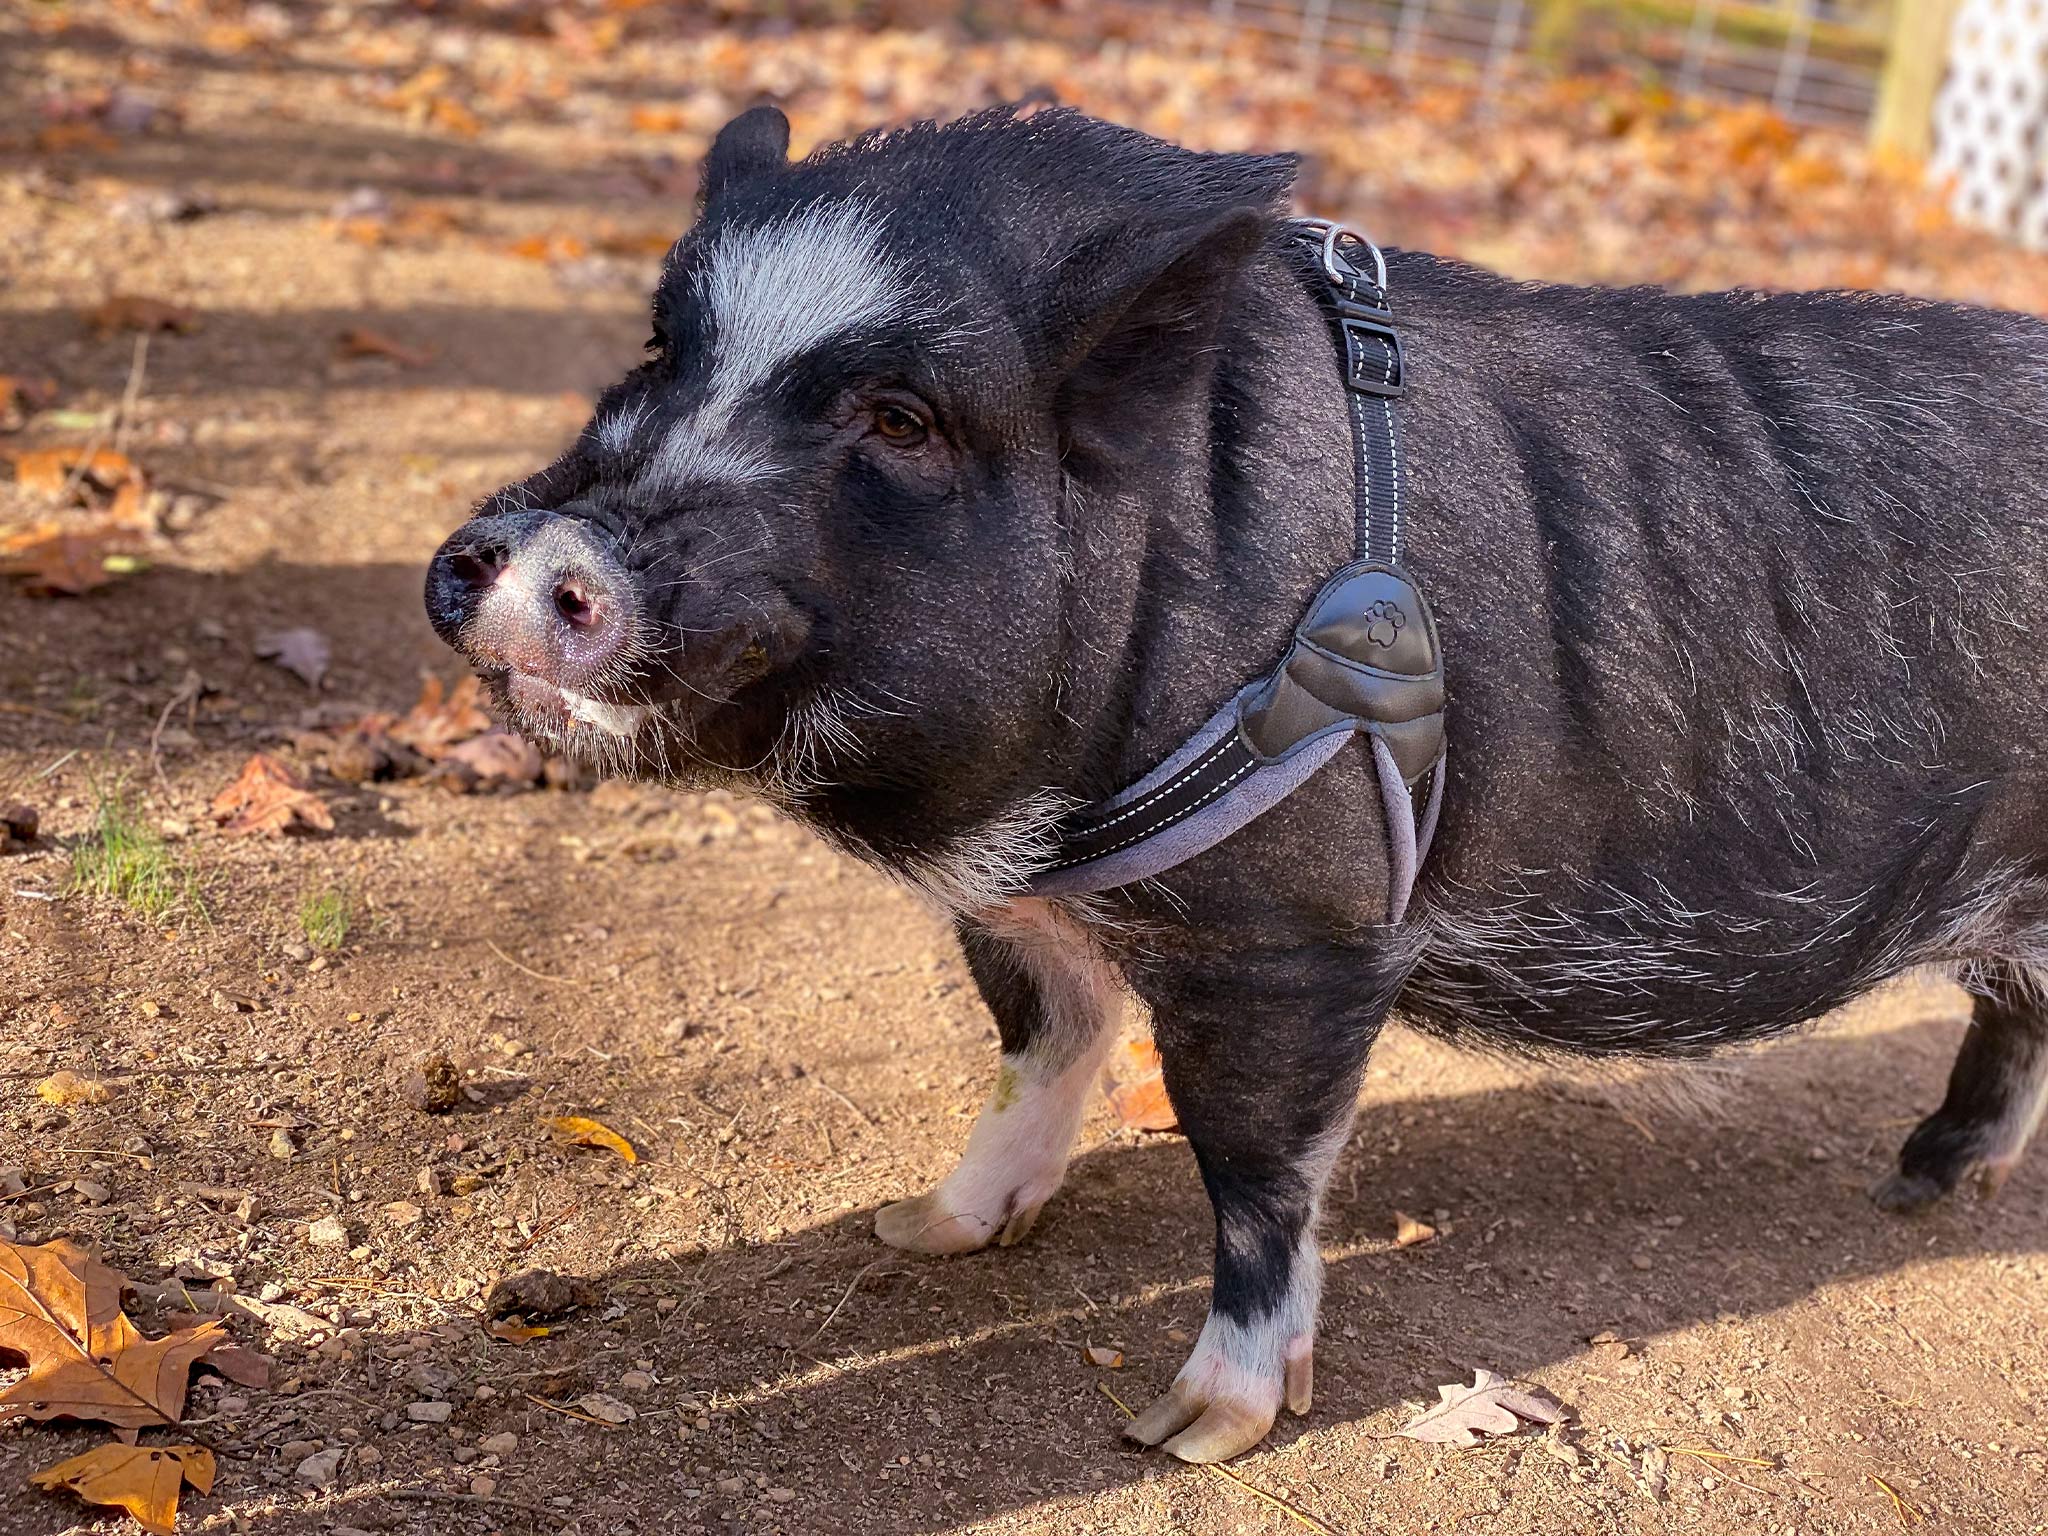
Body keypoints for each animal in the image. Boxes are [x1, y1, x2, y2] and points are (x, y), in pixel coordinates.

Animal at [426, 104, 2048, 1462]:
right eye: (658, 353)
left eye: (900, 419)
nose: (521, 552)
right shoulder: (1027, 907)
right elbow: (1042, 1048)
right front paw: (922, 1231)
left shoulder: (1299, 928)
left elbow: (1255, 1166)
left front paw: (1191, 1432)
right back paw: (1923, 1188)